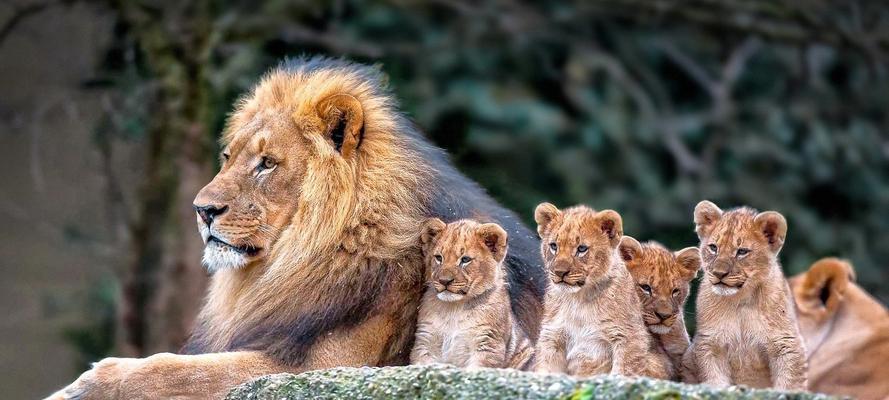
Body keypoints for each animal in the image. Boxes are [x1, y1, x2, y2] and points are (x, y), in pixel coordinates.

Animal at [52, 57, 548, 398]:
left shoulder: (326, 369)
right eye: (228, 157)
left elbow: (179, 369)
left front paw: (84, 385)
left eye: (267, 164)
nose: (201, 210)